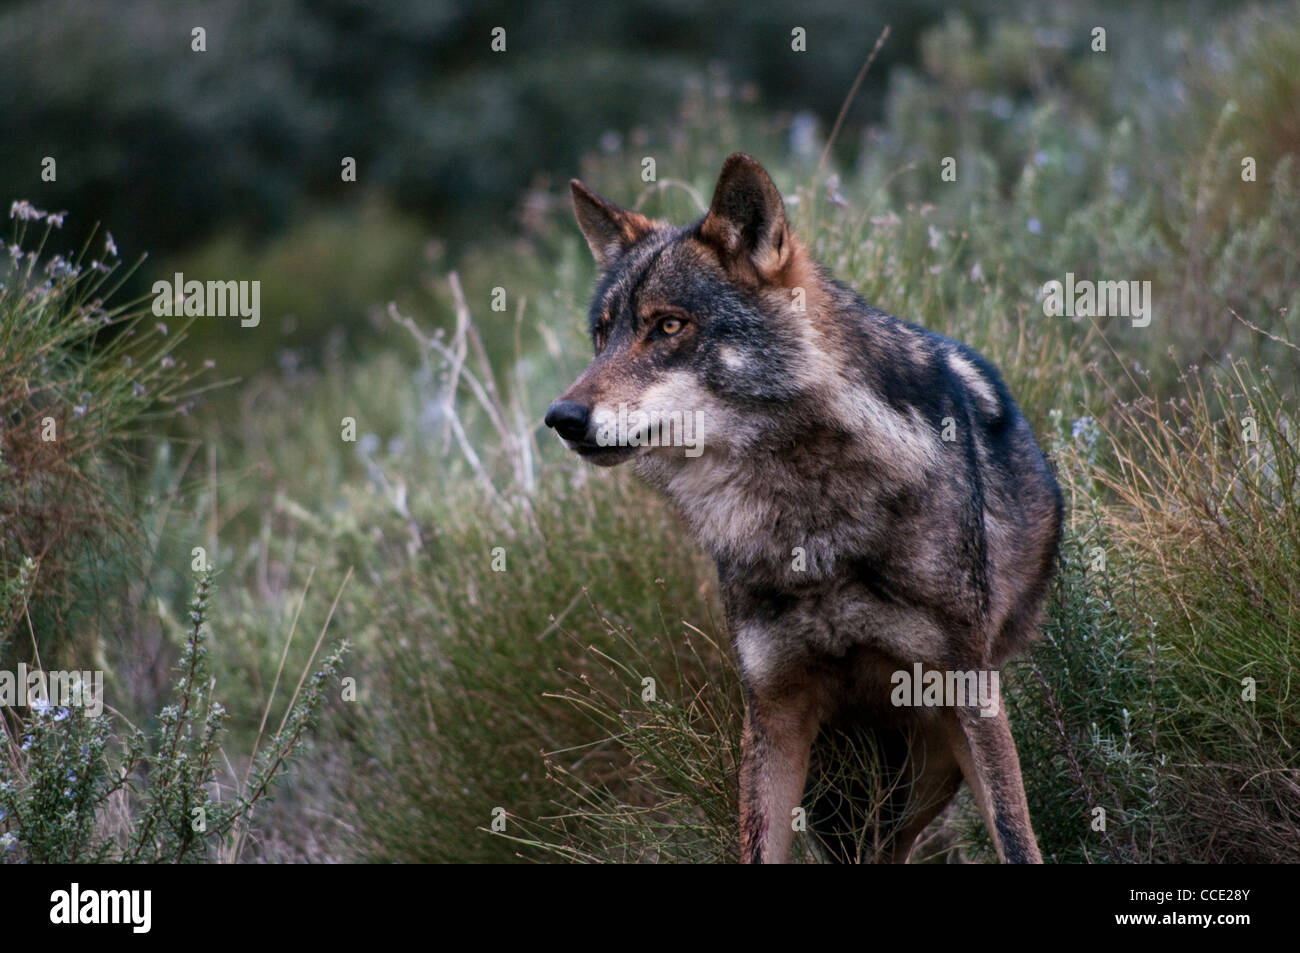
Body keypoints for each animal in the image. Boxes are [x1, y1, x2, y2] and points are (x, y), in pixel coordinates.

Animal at [545, 154, 1063, 863]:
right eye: (601, 337)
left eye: (668, 325)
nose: (561, 418)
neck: (804, 520)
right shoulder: (774, 709)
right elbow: (758, 844)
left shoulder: (965, 691)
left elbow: (1015, 835)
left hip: (928, 760)